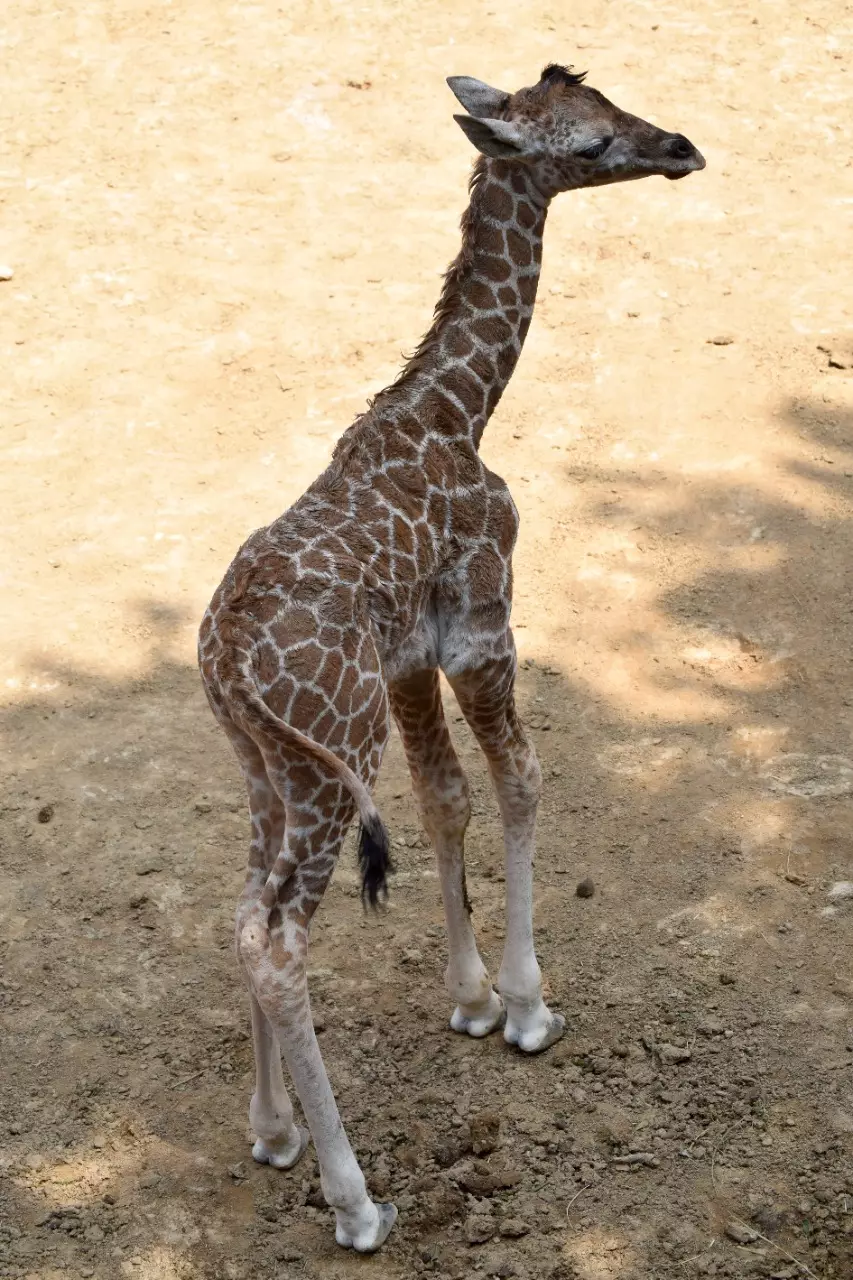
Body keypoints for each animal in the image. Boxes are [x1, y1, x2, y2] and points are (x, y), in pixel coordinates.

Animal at [199, 64, 701, 1254]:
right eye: (593, 141)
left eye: (612, 108)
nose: (681, 147)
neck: (457, 408)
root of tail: (225, 664)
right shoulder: (484, 623)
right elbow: (519, 782)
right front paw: (526, 1007)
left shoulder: (408, 660)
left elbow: (446, 800)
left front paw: (470, 997)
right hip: (329, 765)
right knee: (280, 943)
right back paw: (355, 1199)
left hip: (269, 768)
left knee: (243, 916)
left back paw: (273, 1131)